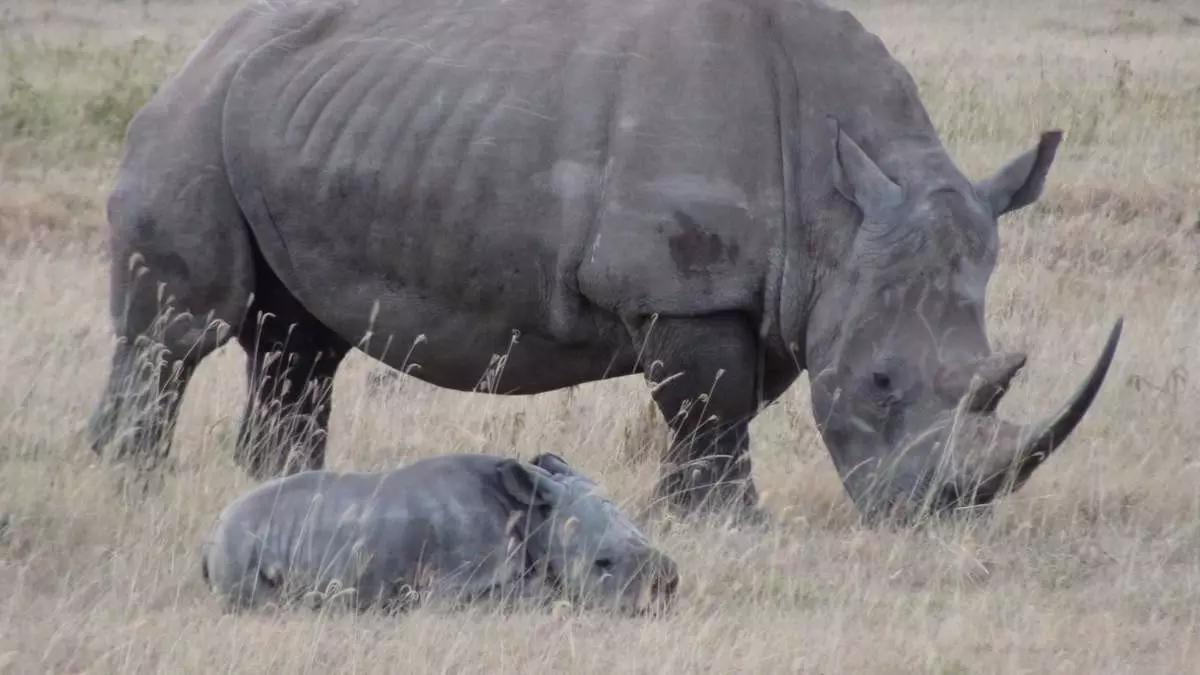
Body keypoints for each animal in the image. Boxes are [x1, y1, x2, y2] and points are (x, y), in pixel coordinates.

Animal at [87, 0, 1123, 521]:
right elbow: (709, 405)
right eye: (878, 382)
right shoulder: (683, 288)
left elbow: (718, 408)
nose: (939, 513)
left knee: (298, 342)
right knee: (180, 330)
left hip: (300, 120)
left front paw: (687, 513)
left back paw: (273, 488)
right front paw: (725, 524)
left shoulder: (779, 292)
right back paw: (131, 485)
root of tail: (206, 45)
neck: (840, 200)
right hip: (191, 118)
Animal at [201, 451, 681, 614]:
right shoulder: (453, 586)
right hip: (240, 544)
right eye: (603, 563)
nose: (666, 589)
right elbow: (534, 595)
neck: (532, 517)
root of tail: (210, 537)